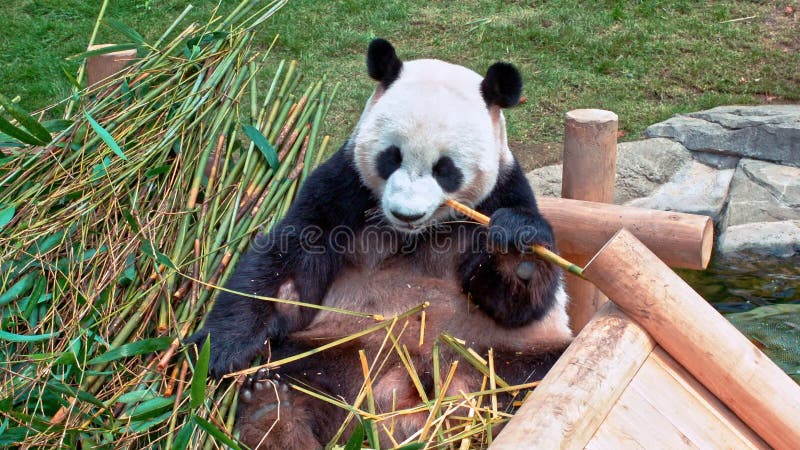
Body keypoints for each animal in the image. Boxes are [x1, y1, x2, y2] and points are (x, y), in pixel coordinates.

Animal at [189, 38, 572, 449]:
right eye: (391, 157)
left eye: (445, 169)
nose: (406, 213)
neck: (417, 234)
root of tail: (404, 411)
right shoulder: (343, 187)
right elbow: (289, 263)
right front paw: (218, 350)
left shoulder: (500, 195)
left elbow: (512, 304)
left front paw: (518, 251)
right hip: (337, 349)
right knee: (295, 374)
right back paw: (271, 414)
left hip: (499, 355)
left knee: (527, 383)